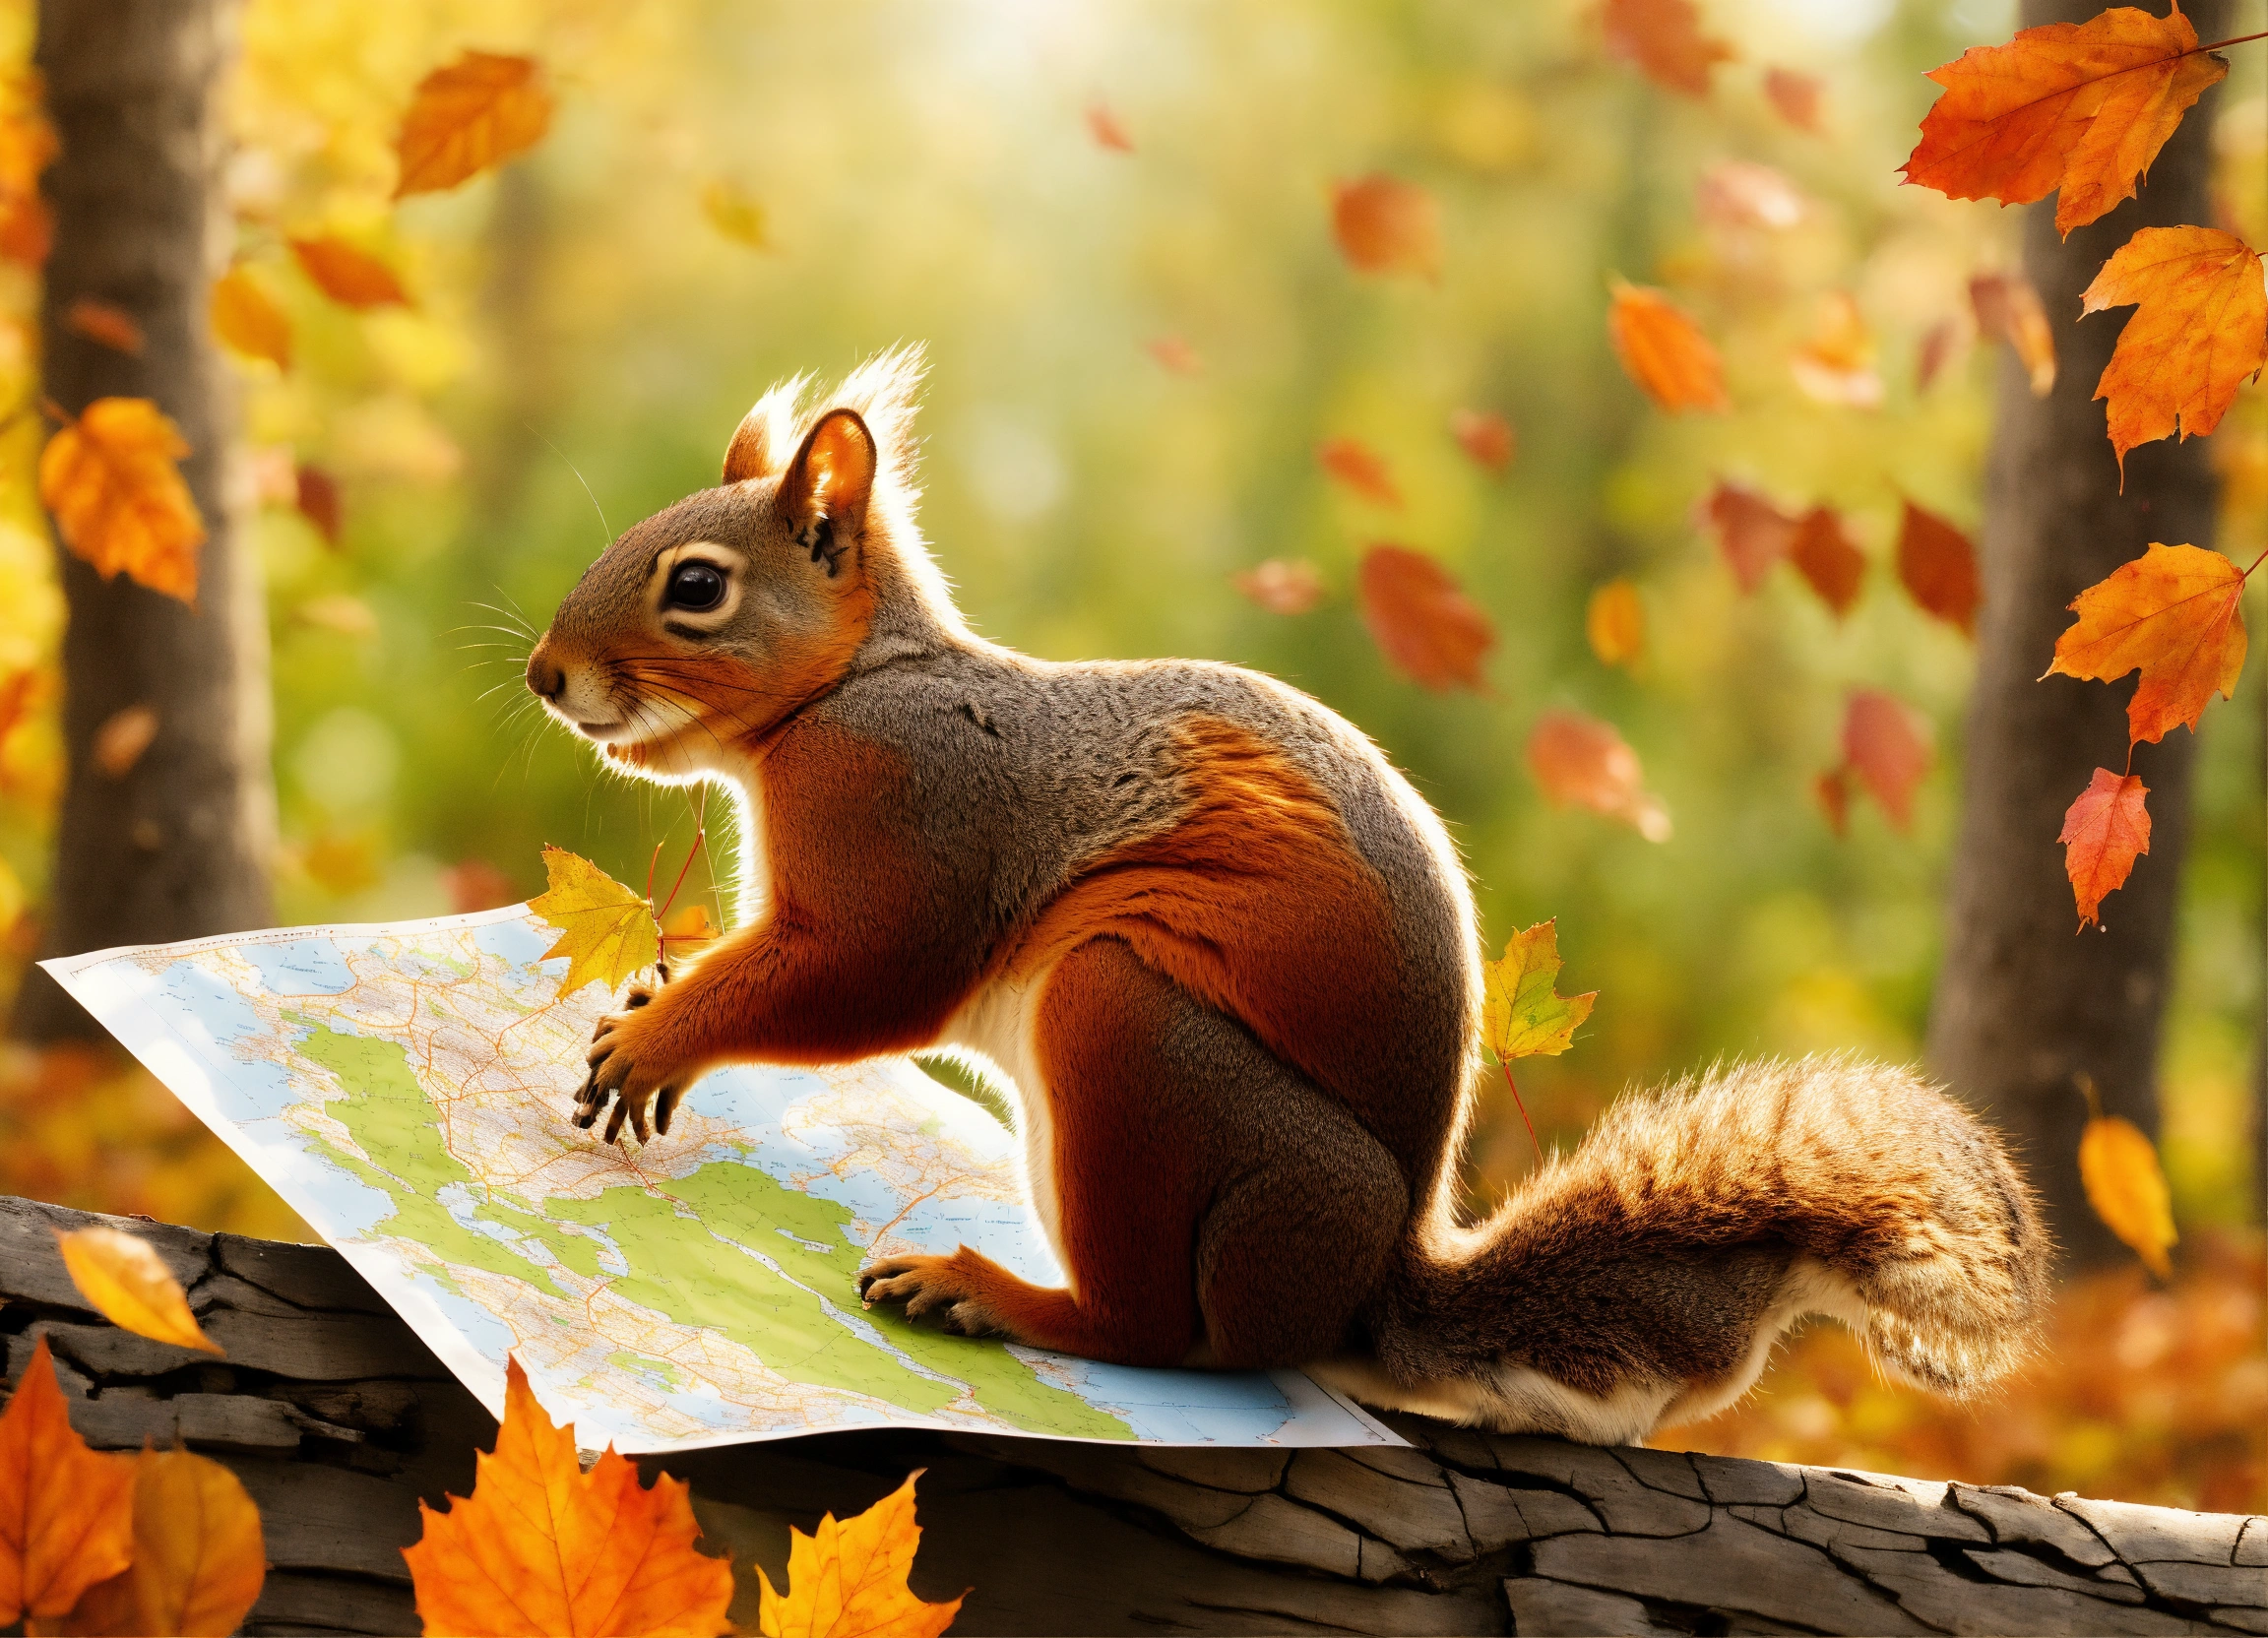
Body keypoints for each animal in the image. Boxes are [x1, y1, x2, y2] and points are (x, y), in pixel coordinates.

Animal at [525, 347, 2048, 1443]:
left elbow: (861, 981)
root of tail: (1362, 1288)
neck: (848, 690)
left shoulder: (917, 828)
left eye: (697, 586)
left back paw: (991, 1292)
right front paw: (655, 986)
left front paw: (661, 1036)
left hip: (1133, 1040)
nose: (545, 675)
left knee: (1156, 1331)